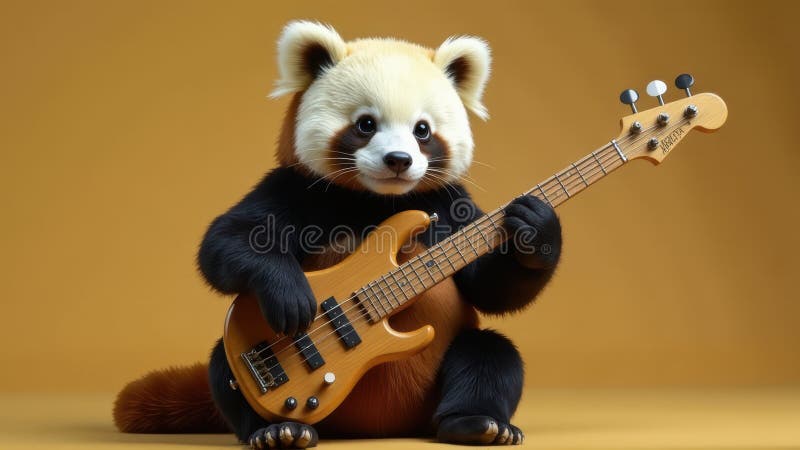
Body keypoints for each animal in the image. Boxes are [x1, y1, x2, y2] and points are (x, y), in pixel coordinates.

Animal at [114, 21, 561, 449]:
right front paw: (290, 294)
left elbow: (490, 287)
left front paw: (537, 224)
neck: (377, 200)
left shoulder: (451, 203)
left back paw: (477, 424)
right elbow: (228, 240)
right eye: (365, 124)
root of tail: (376, 427)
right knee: (224, 370)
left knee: (492, 356)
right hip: (245, 351)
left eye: (422, 130)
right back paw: (278, 431)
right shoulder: (295, 188)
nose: (398, 160)